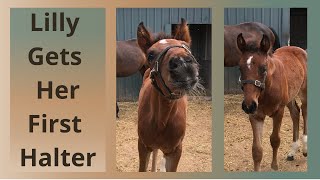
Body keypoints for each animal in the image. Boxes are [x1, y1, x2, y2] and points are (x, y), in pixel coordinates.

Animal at [136, 18, 199, 172]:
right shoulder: (143, 146)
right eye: (150, 55)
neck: (161, 121)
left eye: (186, 47)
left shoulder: (175, 151)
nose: (182, 63)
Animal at [238, 33, 308, 171]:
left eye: (263, 68)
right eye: (240, 68)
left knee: (304, 111)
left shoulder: (278, 111)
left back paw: (305, 149)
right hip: (290, 97)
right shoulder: (256, 116)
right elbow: (257, 150)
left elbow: (275, 140)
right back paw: (292, 152)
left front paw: (274, 167)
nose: (248, 105)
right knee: (295, 113)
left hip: (304, 92)